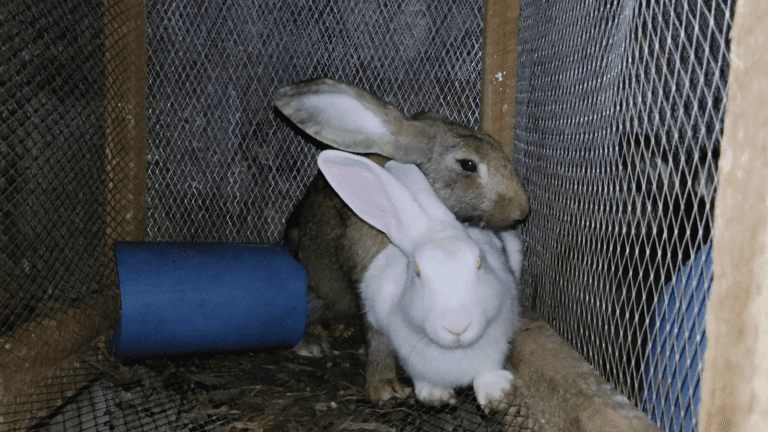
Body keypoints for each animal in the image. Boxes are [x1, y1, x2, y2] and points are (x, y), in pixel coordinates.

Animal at [317, 149, 522, 409]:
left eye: (479, 262)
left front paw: (497, 395)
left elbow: (487, 370)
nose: (457, 326)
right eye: (417, 271)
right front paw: (435, 395)